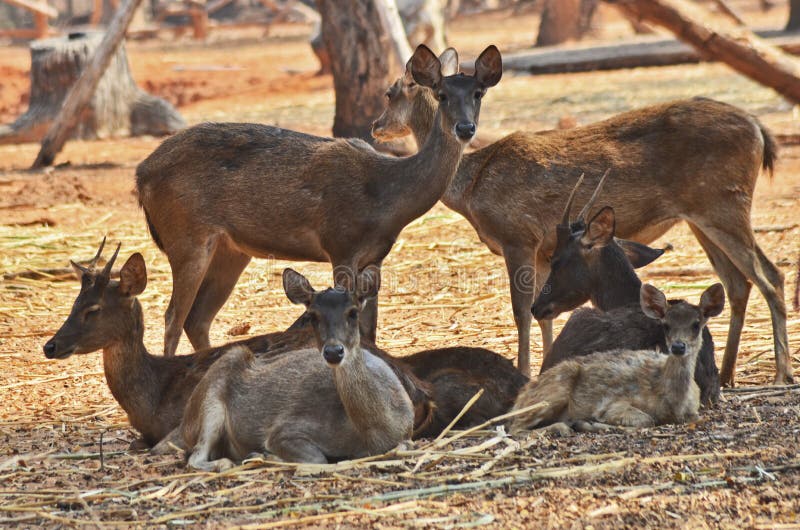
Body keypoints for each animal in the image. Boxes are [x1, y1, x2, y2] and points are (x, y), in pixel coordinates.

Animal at [135, 44, 503, 358]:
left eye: (478, 93)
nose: (466, 128)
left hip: (231, 250)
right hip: (186, 236)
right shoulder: (340, 244)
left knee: (197, 318)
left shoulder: (375, 257)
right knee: (172, 317)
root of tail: (141, 175)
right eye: (441, 94)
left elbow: (369, 331)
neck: (386, 198)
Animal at [179, 268, 415, 470]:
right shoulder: (285, 429)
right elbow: (317, 458)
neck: (379, 431)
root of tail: (186, 422)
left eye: (353, 312)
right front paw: (263, 455)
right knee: (195, 457)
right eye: (312, 316)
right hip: (211, 400)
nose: (333, 352)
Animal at [509, 283, 725, 433]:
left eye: (696, 324)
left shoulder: (695, 410)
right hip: (555, 389)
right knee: (515, 427)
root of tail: (519, 398)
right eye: (666, 325)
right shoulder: (612, 404)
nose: (678, 346)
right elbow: (646, 419)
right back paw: (562, 427)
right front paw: (592, 423)